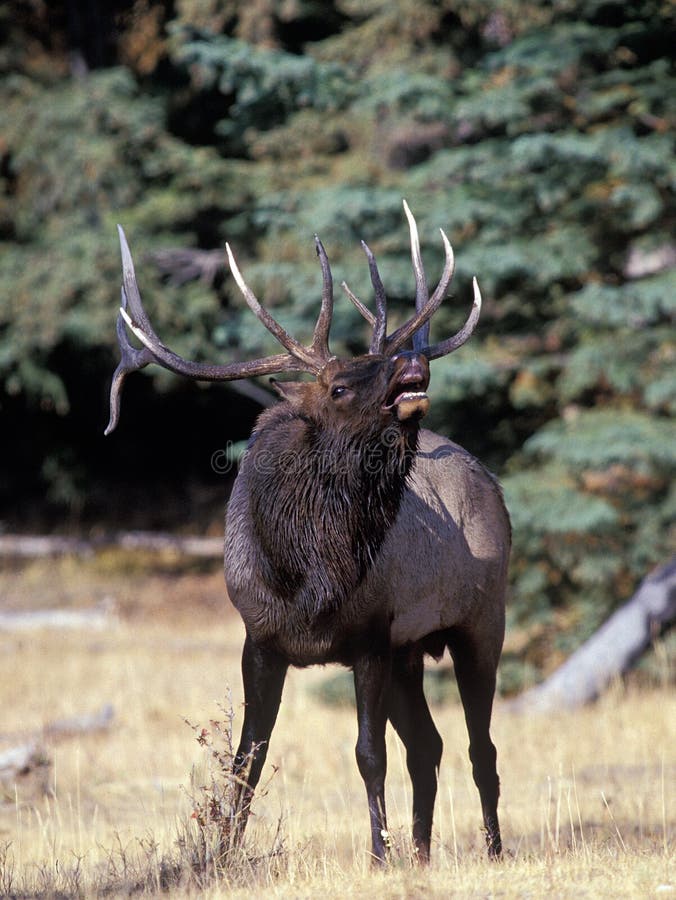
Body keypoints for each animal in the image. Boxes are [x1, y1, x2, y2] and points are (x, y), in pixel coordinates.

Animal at [104, 201, 511, 864]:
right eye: (340, 385)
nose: (412, 361)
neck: (305, 574)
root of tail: (490, 481)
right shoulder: (260, 638)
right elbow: (247, 758)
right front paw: (223, 857)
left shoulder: (371, 635)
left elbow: (368, 755)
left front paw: (378, 855)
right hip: (411, 652)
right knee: (429, 746)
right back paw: (424, 852)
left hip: (480, 622)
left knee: (482, 748)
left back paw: (493, 850)